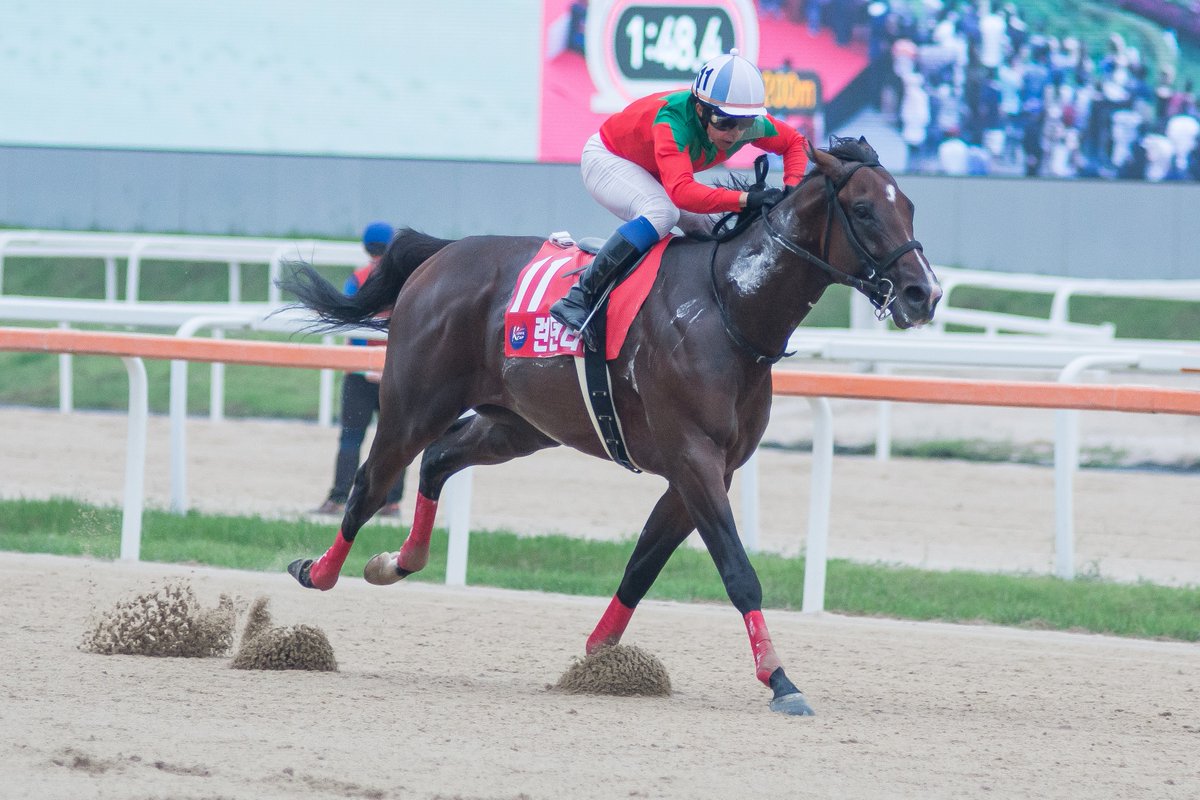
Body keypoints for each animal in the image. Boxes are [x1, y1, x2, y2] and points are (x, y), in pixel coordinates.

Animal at [280, 136, 941, 715]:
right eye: (863, 209)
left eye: (909, 205)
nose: (924, 293)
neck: (728, 306)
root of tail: (443, 253)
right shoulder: (692, 459)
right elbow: (738, 572)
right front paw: (781, 681)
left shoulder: (706, 470)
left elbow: (643, 564)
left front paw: (600, 656)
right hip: (414, 404)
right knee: (370, 482)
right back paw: (319, 571)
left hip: (517, 425)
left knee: (439, 459)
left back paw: (397, 561)